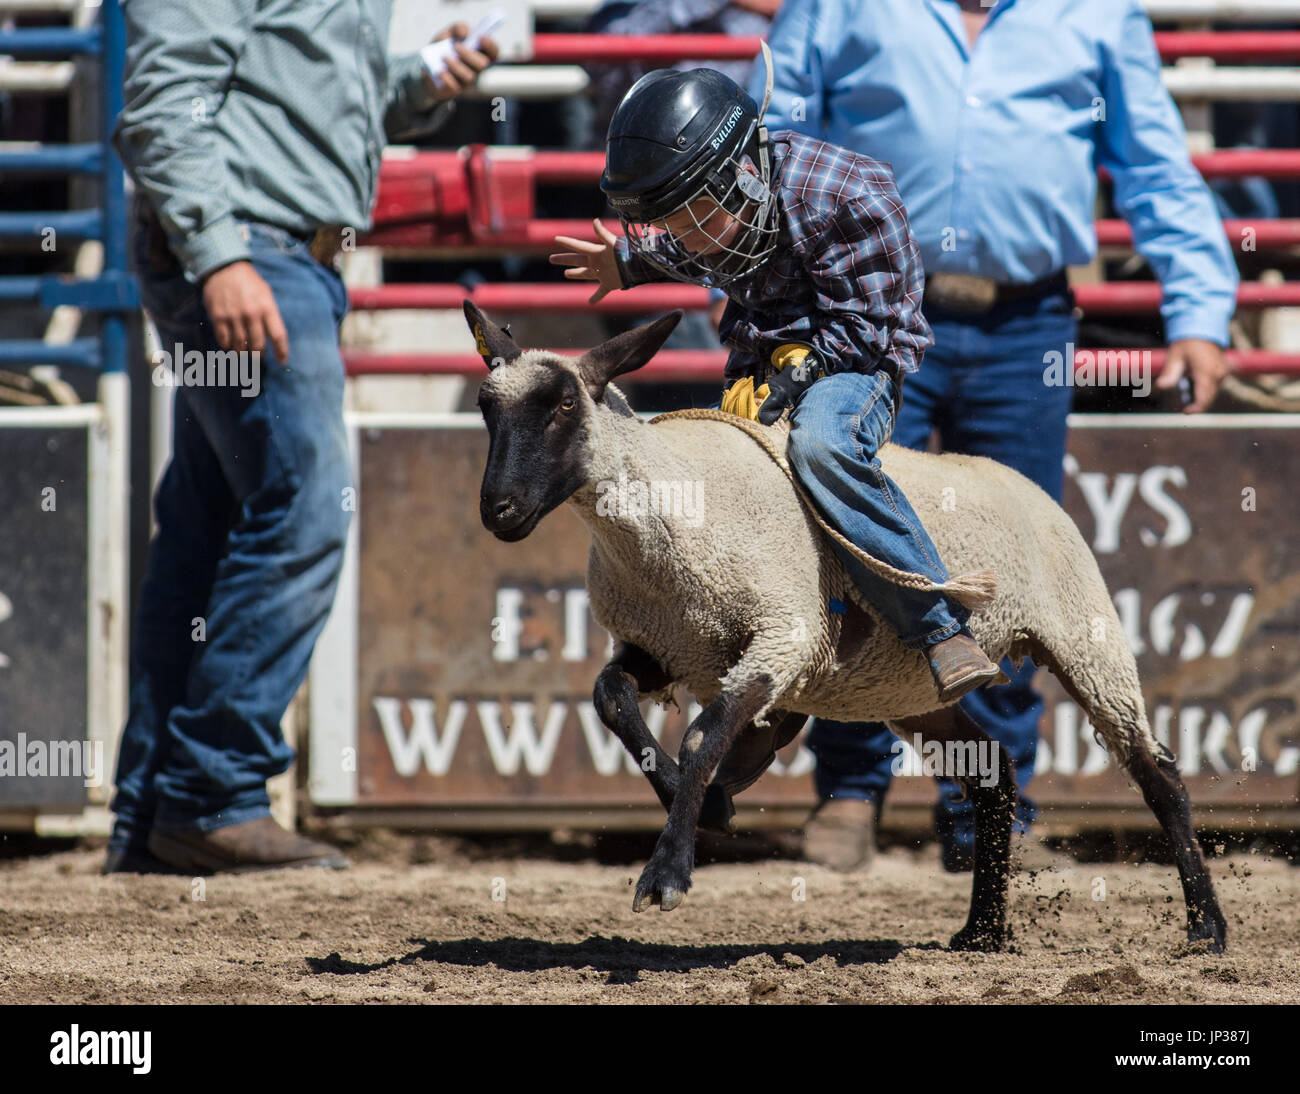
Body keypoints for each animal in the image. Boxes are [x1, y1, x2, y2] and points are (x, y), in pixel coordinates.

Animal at [463, 301, 1227, 954]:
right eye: (485, 406)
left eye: (565, 405)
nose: (499, 510)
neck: (670, 516)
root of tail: (1019, 480)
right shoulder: (663, 647)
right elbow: (612, 699)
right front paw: (708, 805)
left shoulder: (786, 635)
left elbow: (705, 735)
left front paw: (668, 873)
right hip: (914, 692)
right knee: (994, 775)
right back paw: (981, 931)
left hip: (1084, 634)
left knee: (1158, 774)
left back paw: (1206, 928)